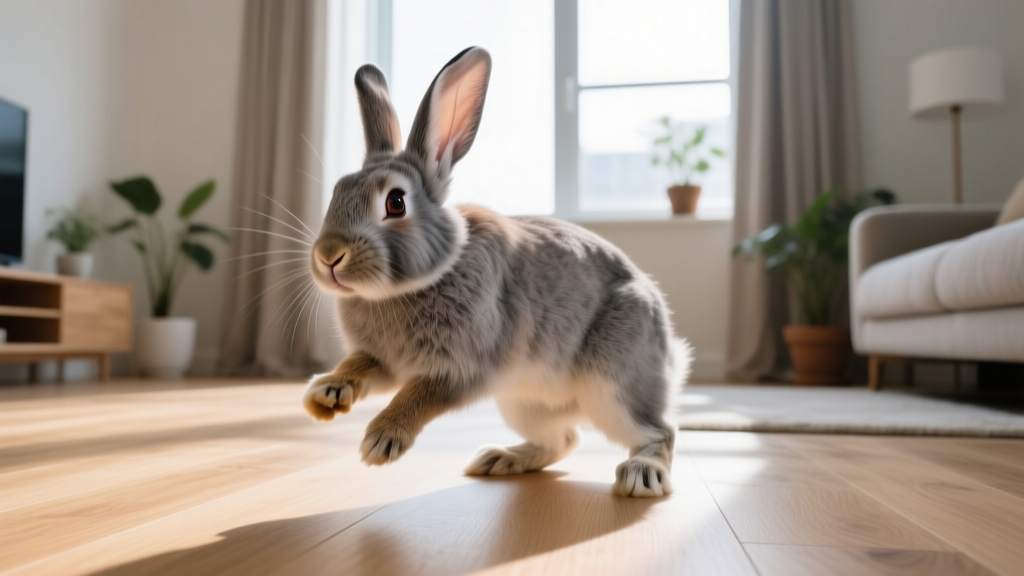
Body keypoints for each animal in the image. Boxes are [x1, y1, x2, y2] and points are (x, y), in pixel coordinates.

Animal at [303, 46, 691, 497]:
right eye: (337, 191)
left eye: (395, 202)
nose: (329, 256)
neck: (419, 281)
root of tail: (668, 350)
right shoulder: (381, 360)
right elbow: (358, 366)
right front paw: (325, 394)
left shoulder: (463, 367)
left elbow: (420, 394)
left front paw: (383, 439)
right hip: (524, 403)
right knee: (564, 439)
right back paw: (499, 459)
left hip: (615, 385)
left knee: (660, 431)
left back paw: (642, 474)